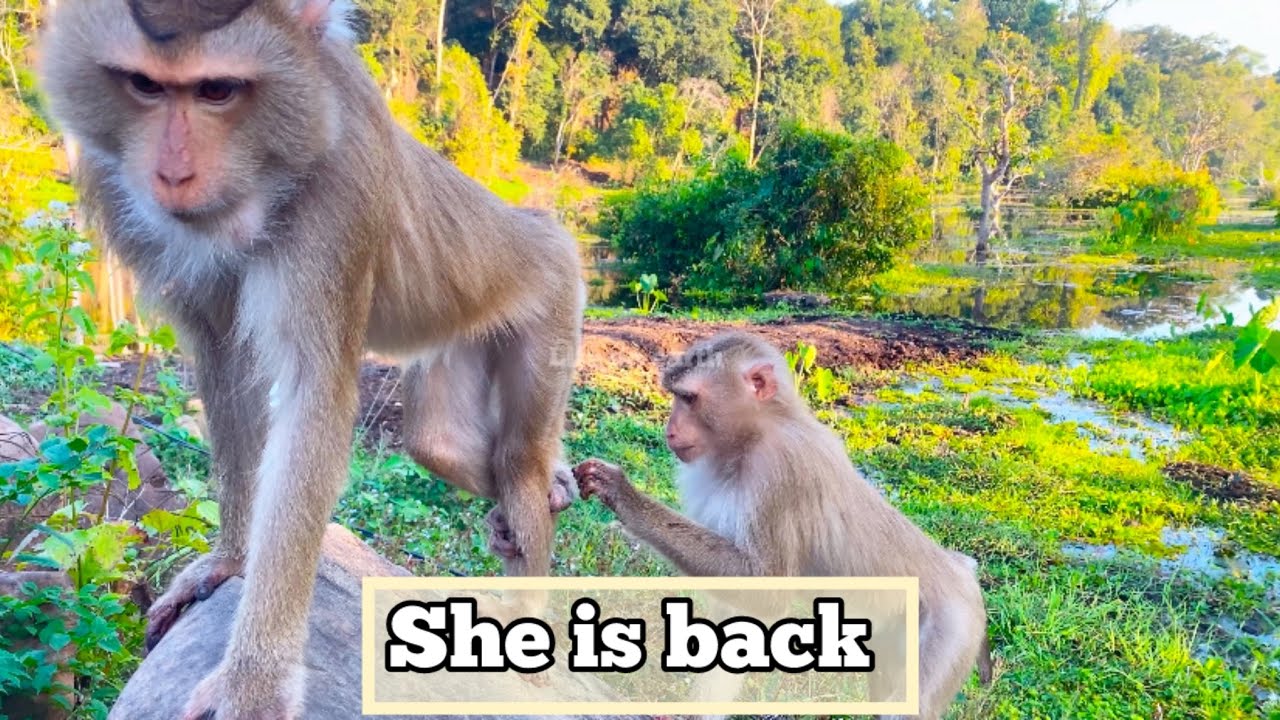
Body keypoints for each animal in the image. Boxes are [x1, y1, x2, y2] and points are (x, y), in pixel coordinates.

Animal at [37, 1, 583, 717]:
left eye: (218, 90)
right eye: (145, 86)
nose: (174, 174)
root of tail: (549, 233)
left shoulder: (338, 188)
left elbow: (312, 396)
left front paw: (254, 682)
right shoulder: (110, 176)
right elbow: (224, 360)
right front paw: (233, 558)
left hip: (554, 300)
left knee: (517, 461)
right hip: (460, 344)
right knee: (438, 444)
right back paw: (553, 483)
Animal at [573, 331, 991, 719]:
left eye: (689, 399)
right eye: (676, 396)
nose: (670, 429)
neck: (752, 438)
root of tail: (959, 569)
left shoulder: (782, 471)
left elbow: (767, 588)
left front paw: (623, 496)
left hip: (950, 626)